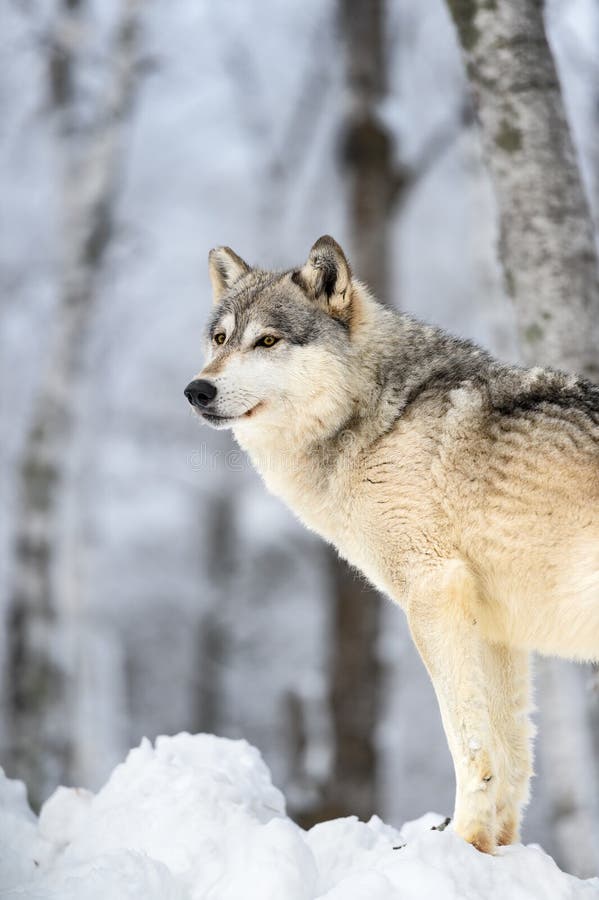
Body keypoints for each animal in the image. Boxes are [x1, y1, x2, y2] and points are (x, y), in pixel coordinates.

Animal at [184, 235, 599, 854]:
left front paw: (460, 843)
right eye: (220, 339)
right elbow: (511, 756)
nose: (197, 390)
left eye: (267, 341)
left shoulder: (433, 595)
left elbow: (470, 745)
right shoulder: (497, 628)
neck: (381, 420)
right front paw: (492, 851)